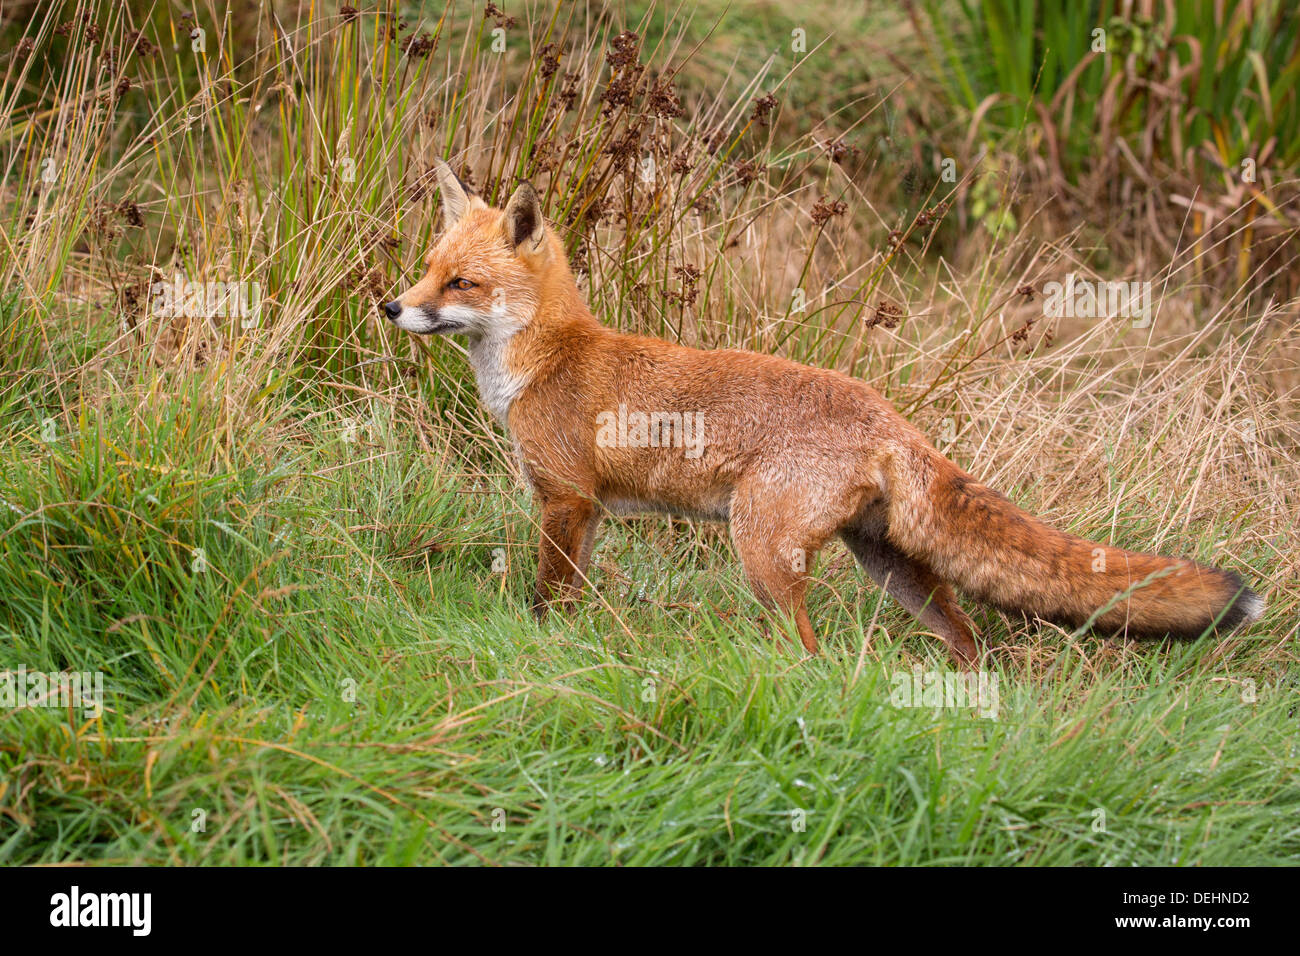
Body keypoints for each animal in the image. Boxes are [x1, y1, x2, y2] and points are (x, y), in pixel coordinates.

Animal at [381, 160, 1264, 664]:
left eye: (460, 283)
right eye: (426, 270)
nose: (390, 306)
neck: (546, 361)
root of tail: (889, 416)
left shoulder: (565, 500)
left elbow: (546, 599)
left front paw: (536, 646)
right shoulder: (589, 509)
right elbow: (570, 600)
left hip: (764, 552)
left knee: (812, 654)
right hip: (891, 566)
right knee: (969, 640)